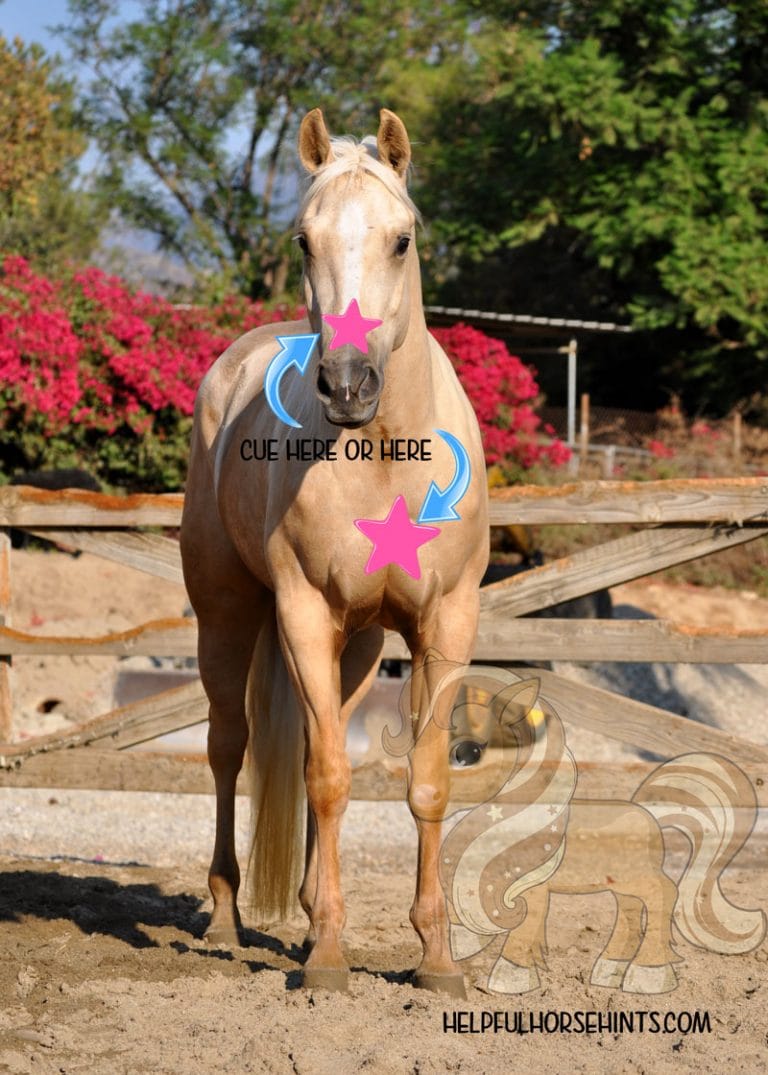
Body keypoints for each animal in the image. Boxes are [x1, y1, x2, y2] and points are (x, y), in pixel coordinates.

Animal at [180, 108, 489, 995]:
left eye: (402, 238)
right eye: (302, 239)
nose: (348, 384)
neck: (384, 456)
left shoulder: (445, 626)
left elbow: (425, 782)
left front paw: (436, 958)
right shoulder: (304, 616)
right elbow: (324, 777)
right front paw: (324, 959)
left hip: (358, 646)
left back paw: (319, 908)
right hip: (228, 618)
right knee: (230, 747)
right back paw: (227, 918)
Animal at [397, 666, 765, 994]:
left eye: (469, 752)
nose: (425, 791)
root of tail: (648, 814)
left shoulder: (530, 888)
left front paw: (509, 977)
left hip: (637, 878)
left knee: (664, 894)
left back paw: (647, 974)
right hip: (620, 885)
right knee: (631, 911)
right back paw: (610, 971)